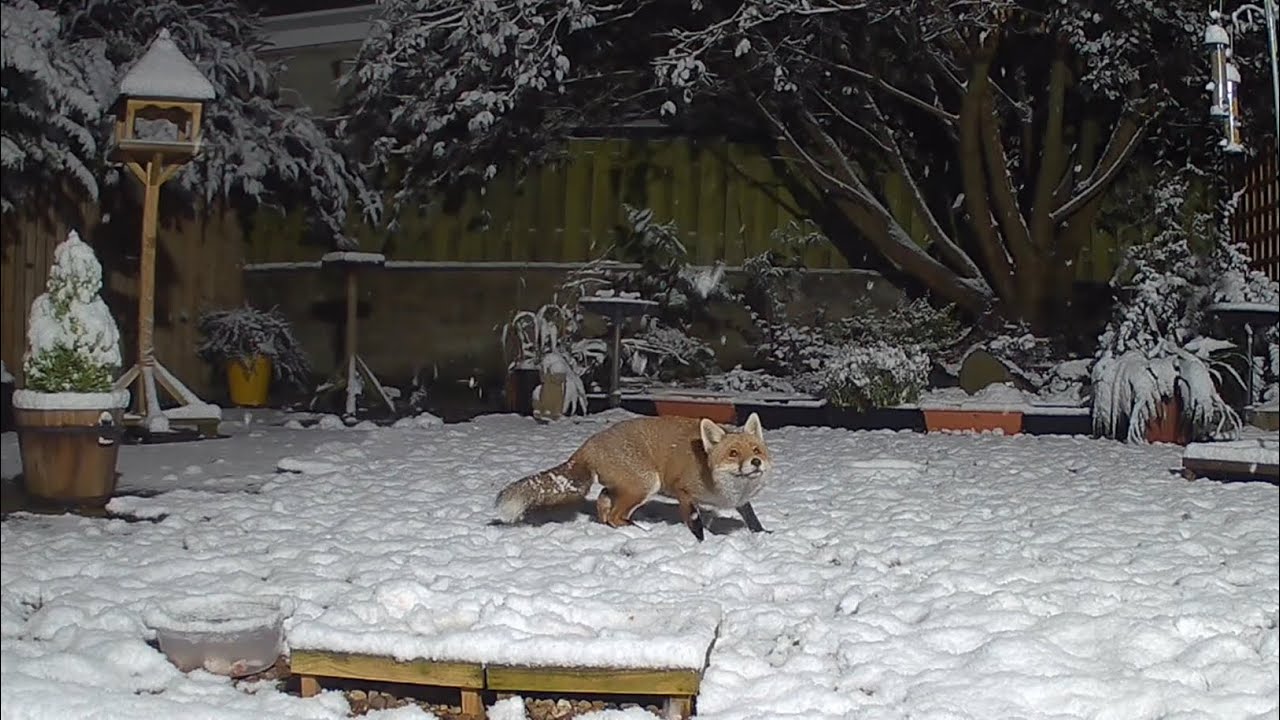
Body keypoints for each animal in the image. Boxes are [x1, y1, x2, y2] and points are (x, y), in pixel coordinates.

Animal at [494, 413, 773, 541]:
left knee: (604, 502)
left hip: (625, 487)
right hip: (646, 484)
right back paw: (639, 531)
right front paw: (702, 540)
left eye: (756, 450)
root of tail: (589, 443)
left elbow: (752, 518)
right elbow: (695, 521)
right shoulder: (682, 491)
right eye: (733, 453)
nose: (755, 462)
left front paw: (763, 534)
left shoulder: (739, 503)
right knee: (616, 515)